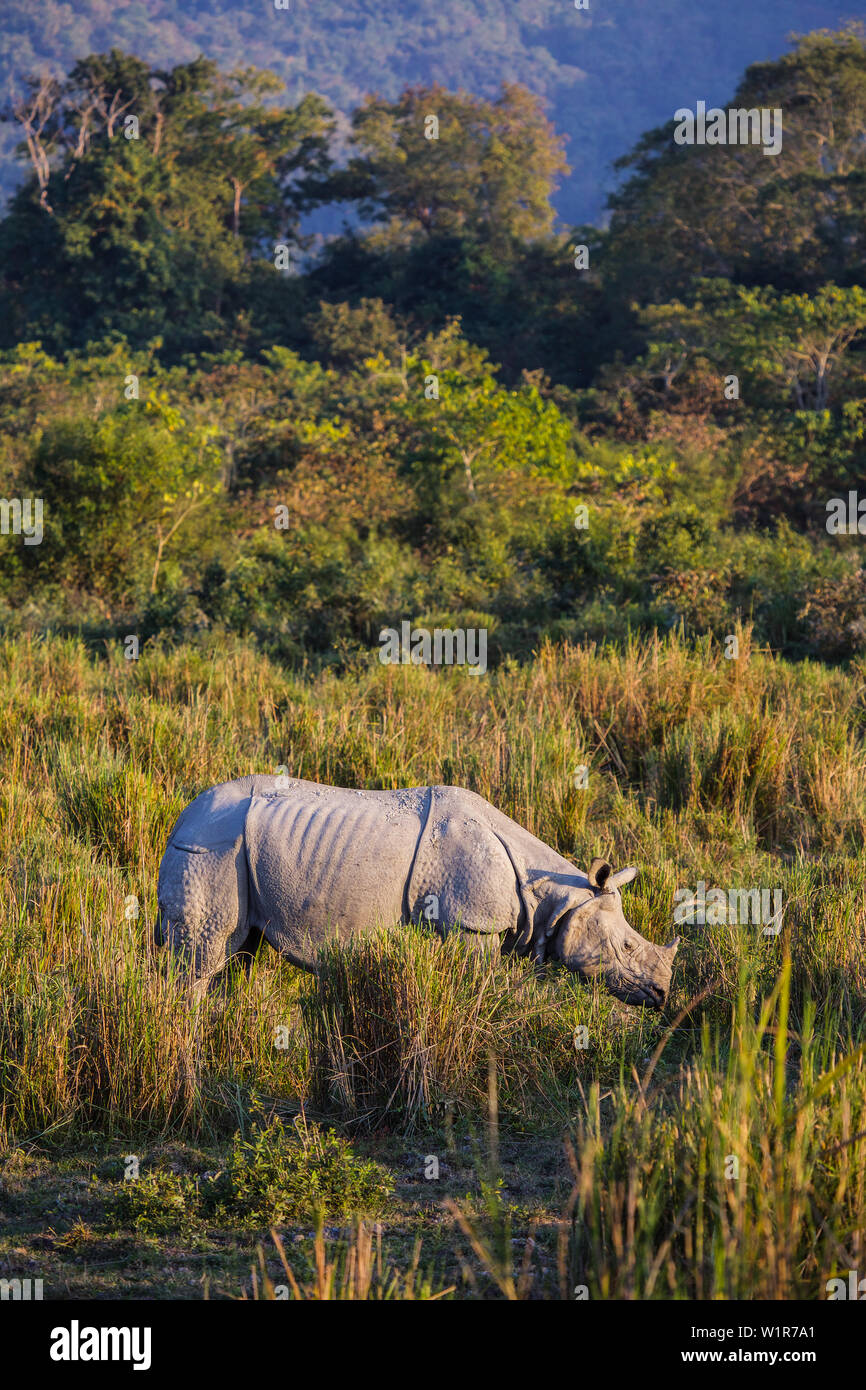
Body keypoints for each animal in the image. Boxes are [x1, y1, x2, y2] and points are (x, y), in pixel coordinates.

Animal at [156, 776, 679, 1006]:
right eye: (626, 946)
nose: (661, 995)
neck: (553, 894)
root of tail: (181, 817)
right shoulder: (471, 926)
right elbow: (474, 983)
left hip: (233, 844)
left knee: (239, 951)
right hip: (211, 847)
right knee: (203, 955)